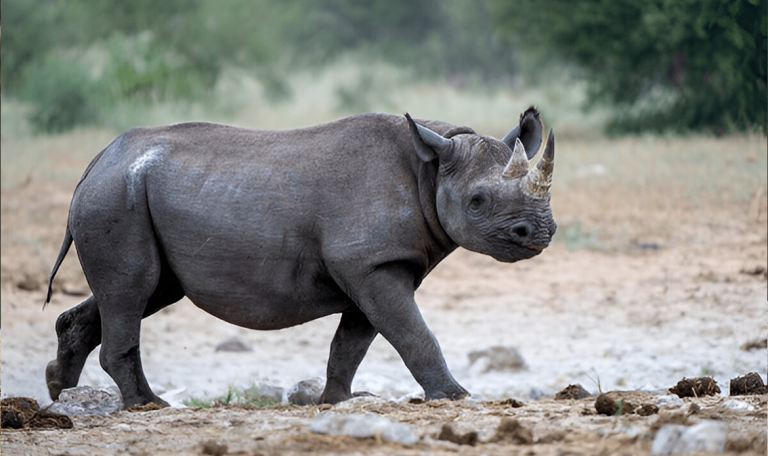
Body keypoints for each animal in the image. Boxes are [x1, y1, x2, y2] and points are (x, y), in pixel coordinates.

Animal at [45, 107, 556, 408]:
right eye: (477, 202)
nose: (540, 232)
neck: (430, 171)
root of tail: (97, 162)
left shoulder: (374, 265)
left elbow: (351, 345)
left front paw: (336, 402)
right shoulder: (371, 263)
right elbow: (413, 334)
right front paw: (456, 397)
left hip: (122, 194)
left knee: (145, 291)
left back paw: (59, 390)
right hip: (116, 197)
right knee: (131, 291)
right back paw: (147, 406)